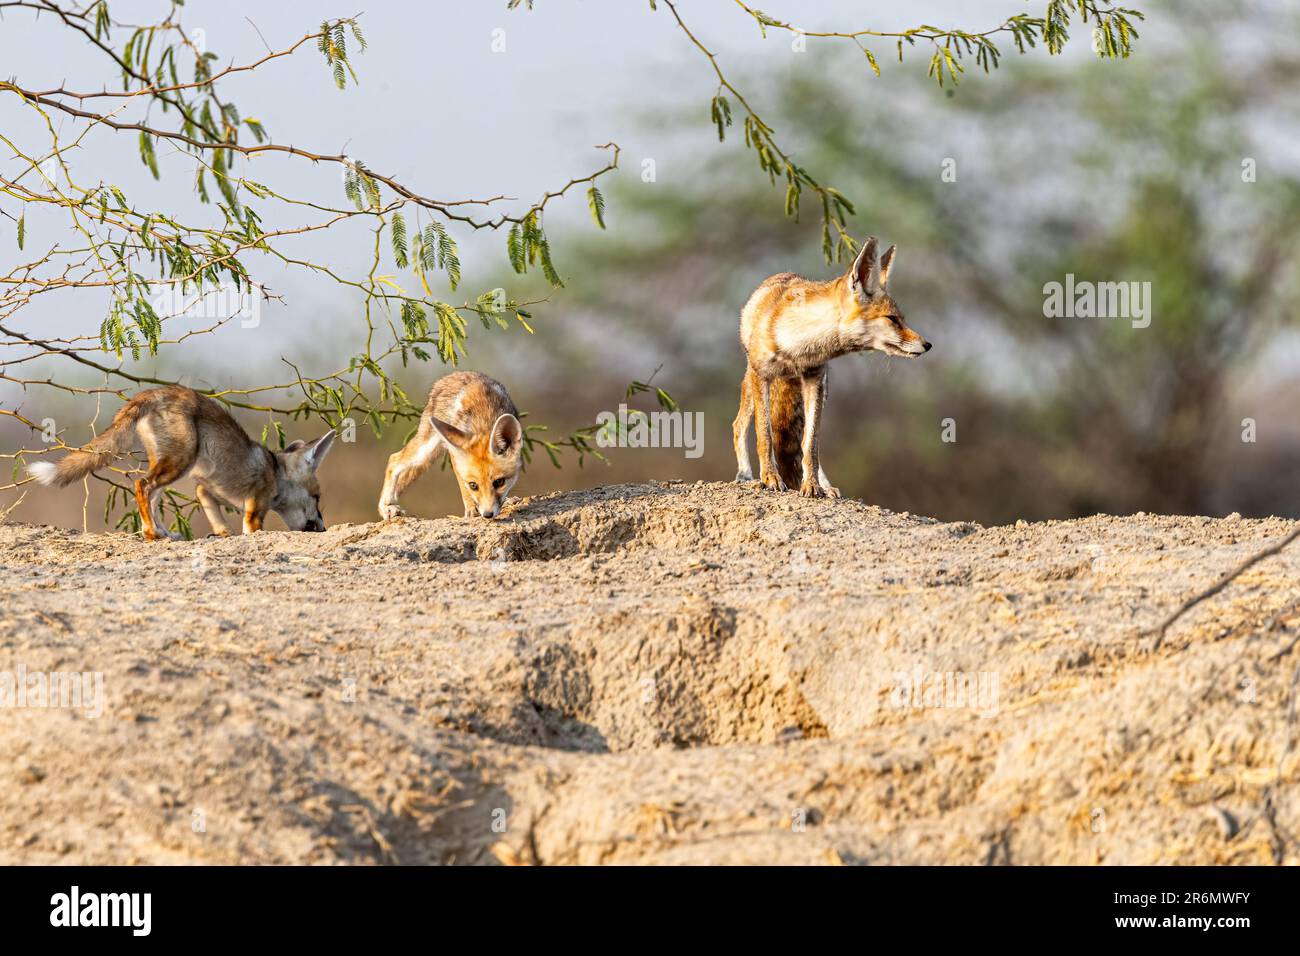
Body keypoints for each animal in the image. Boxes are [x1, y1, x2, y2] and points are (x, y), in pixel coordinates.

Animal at [26, 385, 335, 540]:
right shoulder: (254, 506)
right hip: (181, 460)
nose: (323, 528)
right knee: (141, 485)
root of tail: (149, 393)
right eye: (318, 497)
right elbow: (252, 528)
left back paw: (160, 531)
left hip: (171, 463)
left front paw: (222, 533)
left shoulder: (204, 487)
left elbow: (216, 518)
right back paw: (152, 533)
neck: (273, 470)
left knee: (151, 496)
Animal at [378, 371, 523, 520]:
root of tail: (453, 374)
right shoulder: (455, 456)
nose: (487, 515)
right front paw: (471, 510)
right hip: (425, 449)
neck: (483, 421)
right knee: (394, 459)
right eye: (473, 485)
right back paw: (386, 506)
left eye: (499, 482)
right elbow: (464, 488)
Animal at [732, 235, 930, 498]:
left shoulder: (814, 378)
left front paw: (813, 485)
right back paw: (745, 475)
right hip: (750, 382)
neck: (797, 348)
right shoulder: (762, 375)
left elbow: (811, 445)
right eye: (892, 319)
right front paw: (770, 478)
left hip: (820, 392)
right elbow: (764, 435)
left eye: (902, 319)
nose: (927, 345)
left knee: (805, 442)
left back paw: (826, 486)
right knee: (739, 425)